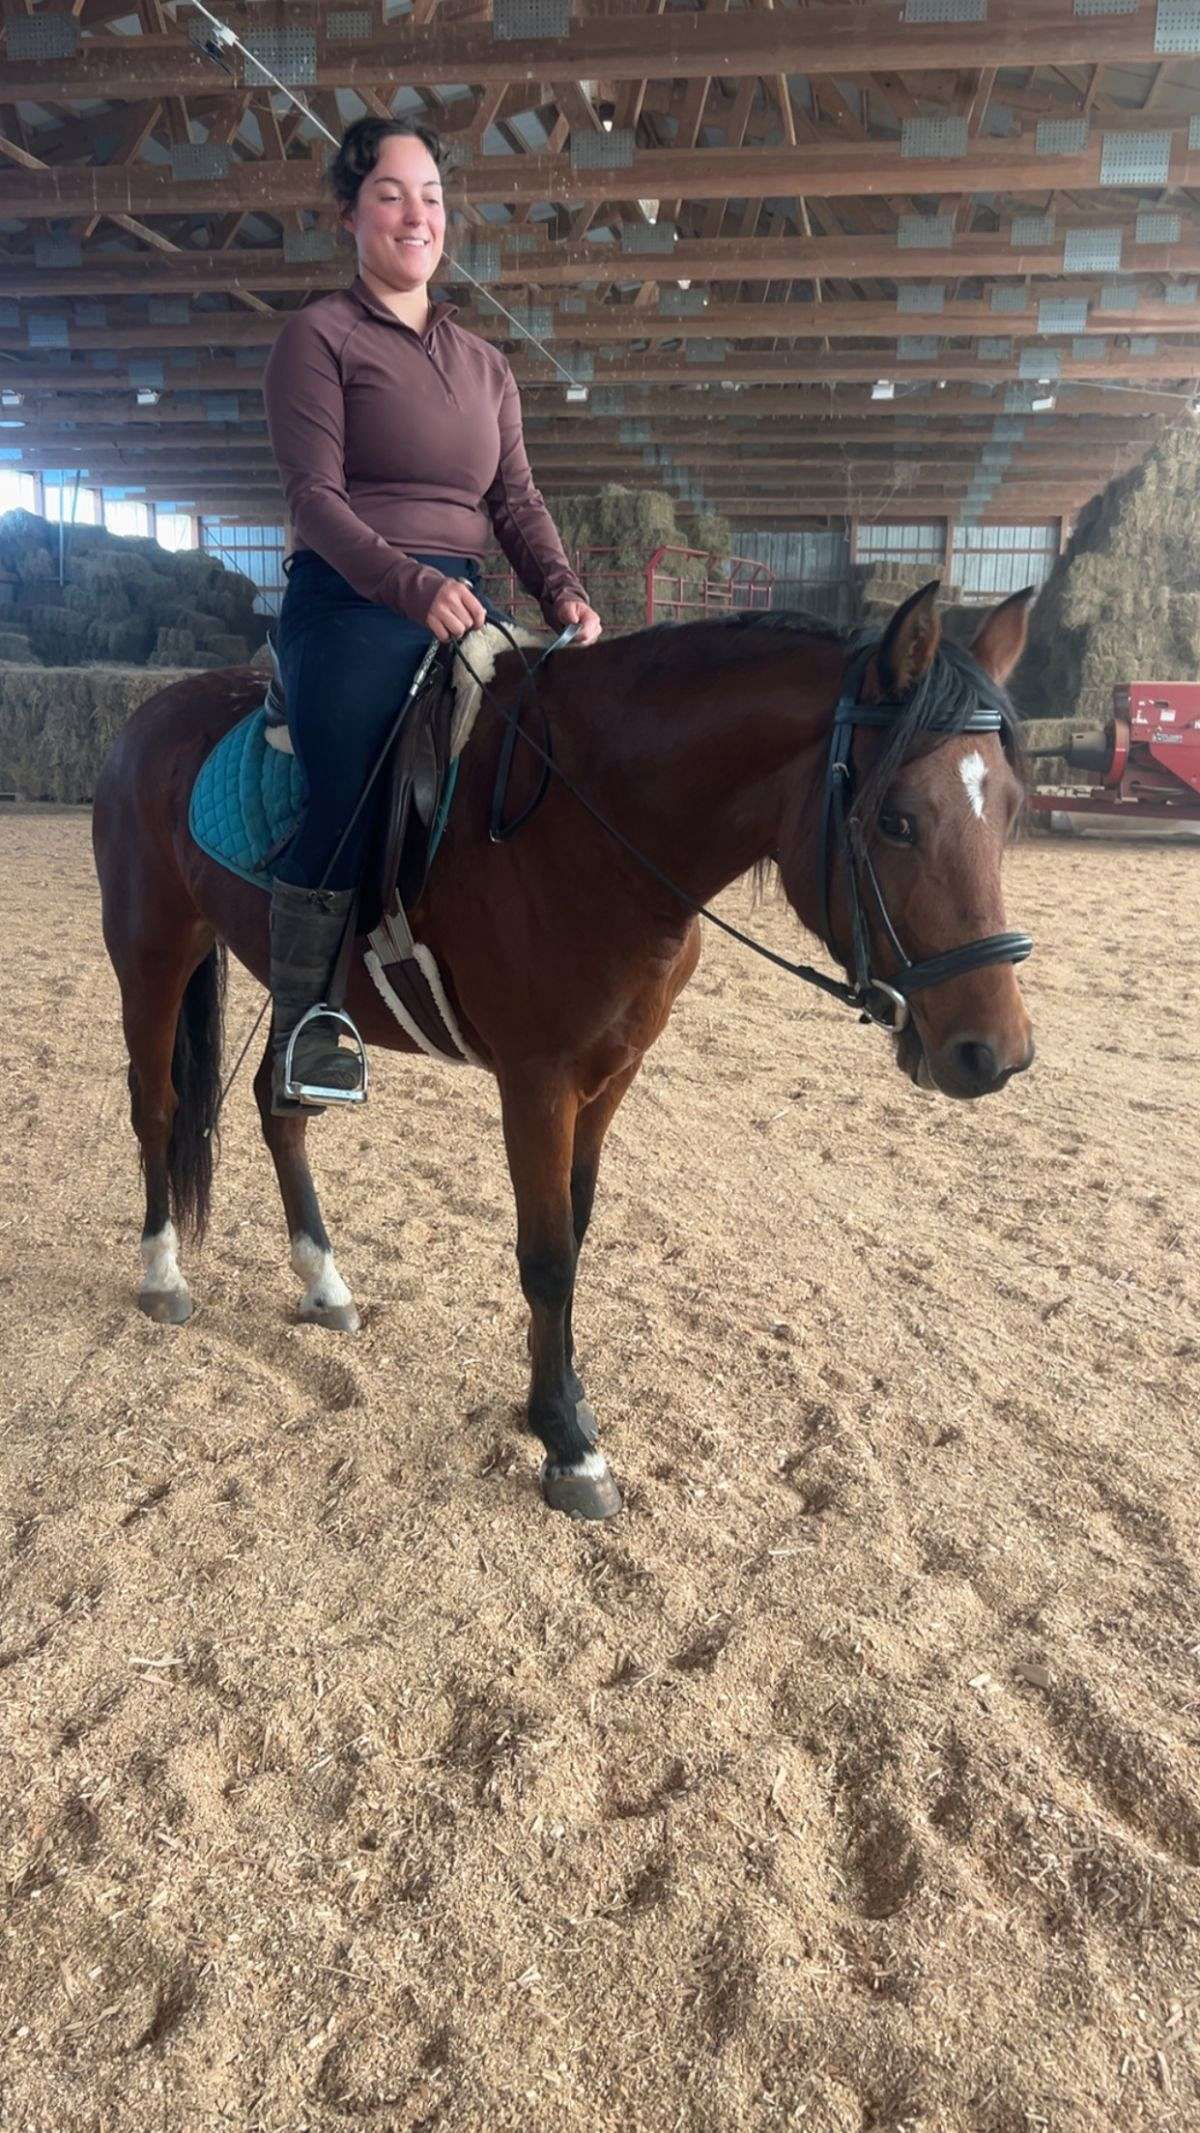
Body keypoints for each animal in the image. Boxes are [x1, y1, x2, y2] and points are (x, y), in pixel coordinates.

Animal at [92, 579, 1036, 1522]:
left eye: (1011, 810)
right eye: (897, 820)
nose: (997, 1053)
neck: (590, 821)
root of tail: (153, 713)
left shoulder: (610, 1072)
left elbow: (574, 1237)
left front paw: (559, 1400)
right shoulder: (537, 1081)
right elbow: (545, 1256)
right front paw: (569, 1443)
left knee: (277, 1104)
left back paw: (323, 1283)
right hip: (153, 953)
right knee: (157, 1107)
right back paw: (161, 1274)